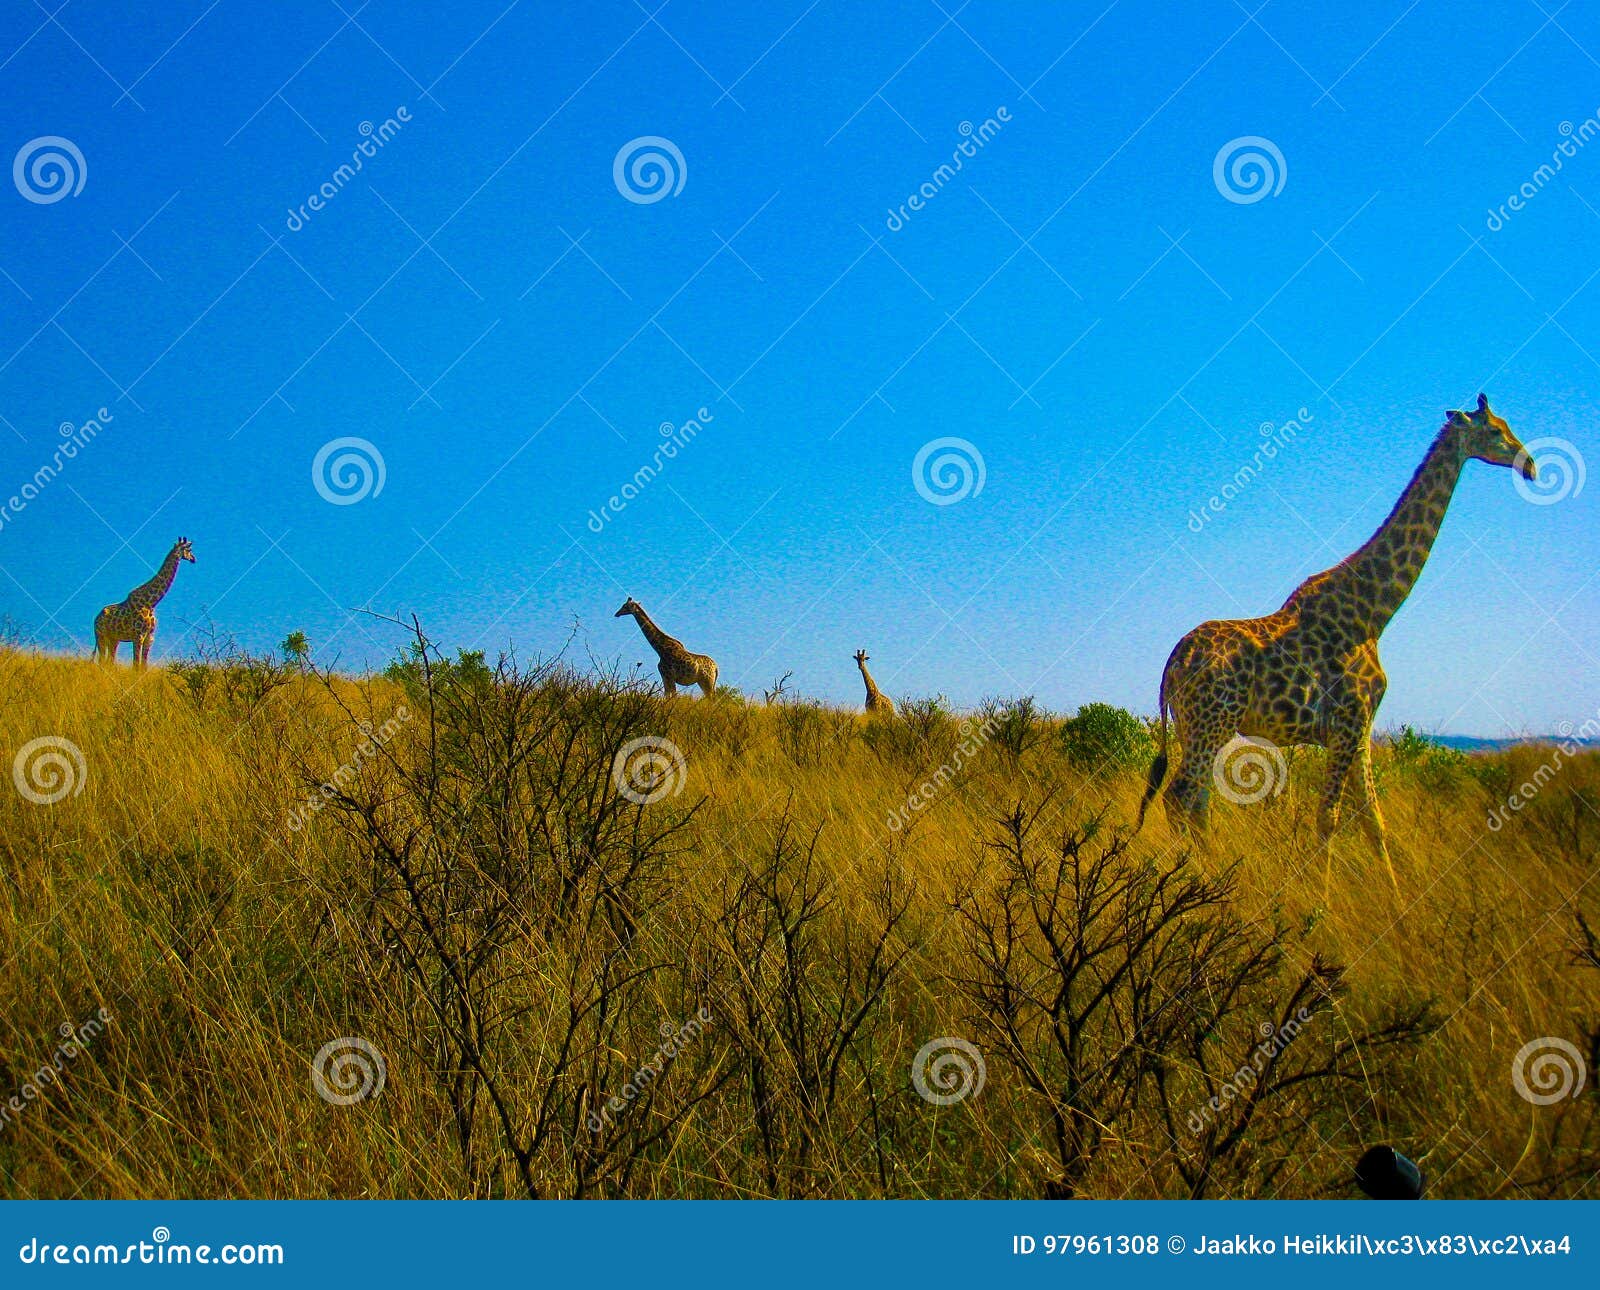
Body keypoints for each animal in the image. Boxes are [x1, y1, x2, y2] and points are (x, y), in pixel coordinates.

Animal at [93, 536, 196, 669]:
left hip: (114, 639)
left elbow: (143, 665)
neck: (151, 603)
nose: (194, 559)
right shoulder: (138, 636)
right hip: (101, 635)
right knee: (102, 660)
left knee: (109, 661)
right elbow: (136, 664)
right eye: (189, 549)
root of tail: (96, 618)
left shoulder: (149, 637)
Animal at [1135, 395, 1535, 891]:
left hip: (1194, 725)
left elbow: (1373, 820)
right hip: (1213, 720)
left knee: (1197, 803)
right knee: (1180, 796)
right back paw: (1201, 882)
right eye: (1497, 431)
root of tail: (1172, 663)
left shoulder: (1360, 730)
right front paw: (1324, 900)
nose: (1531, 465)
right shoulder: (1347, 724)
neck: (1374, 612)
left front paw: (1395, 898)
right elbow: (1329, 817)